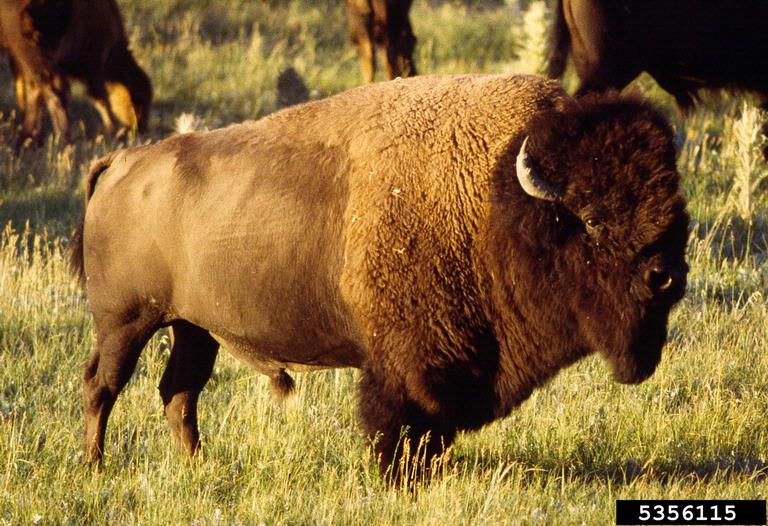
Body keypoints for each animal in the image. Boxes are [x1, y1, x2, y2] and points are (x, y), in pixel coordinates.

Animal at [0, 0, 152, 145]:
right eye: (140, 103)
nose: (139, 130)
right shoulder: (95, 59)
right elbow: (101, 98)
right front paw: (113, 132)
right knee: (51, 91)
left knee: (50, 90)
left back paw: (56, 141)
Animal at [70, 74, 689, 479]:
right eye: (593, 219)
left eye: (673, 208)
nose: (667, 277)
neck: (497, 200)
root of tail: (122, 163)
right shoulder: (405, 365)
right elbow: (399, 425)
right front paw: (399, 479)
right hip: (126, 322)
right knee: (103, 385)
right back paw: (95, 466)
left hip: (194, 328)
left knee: (179, 392)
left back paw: (199, 466)